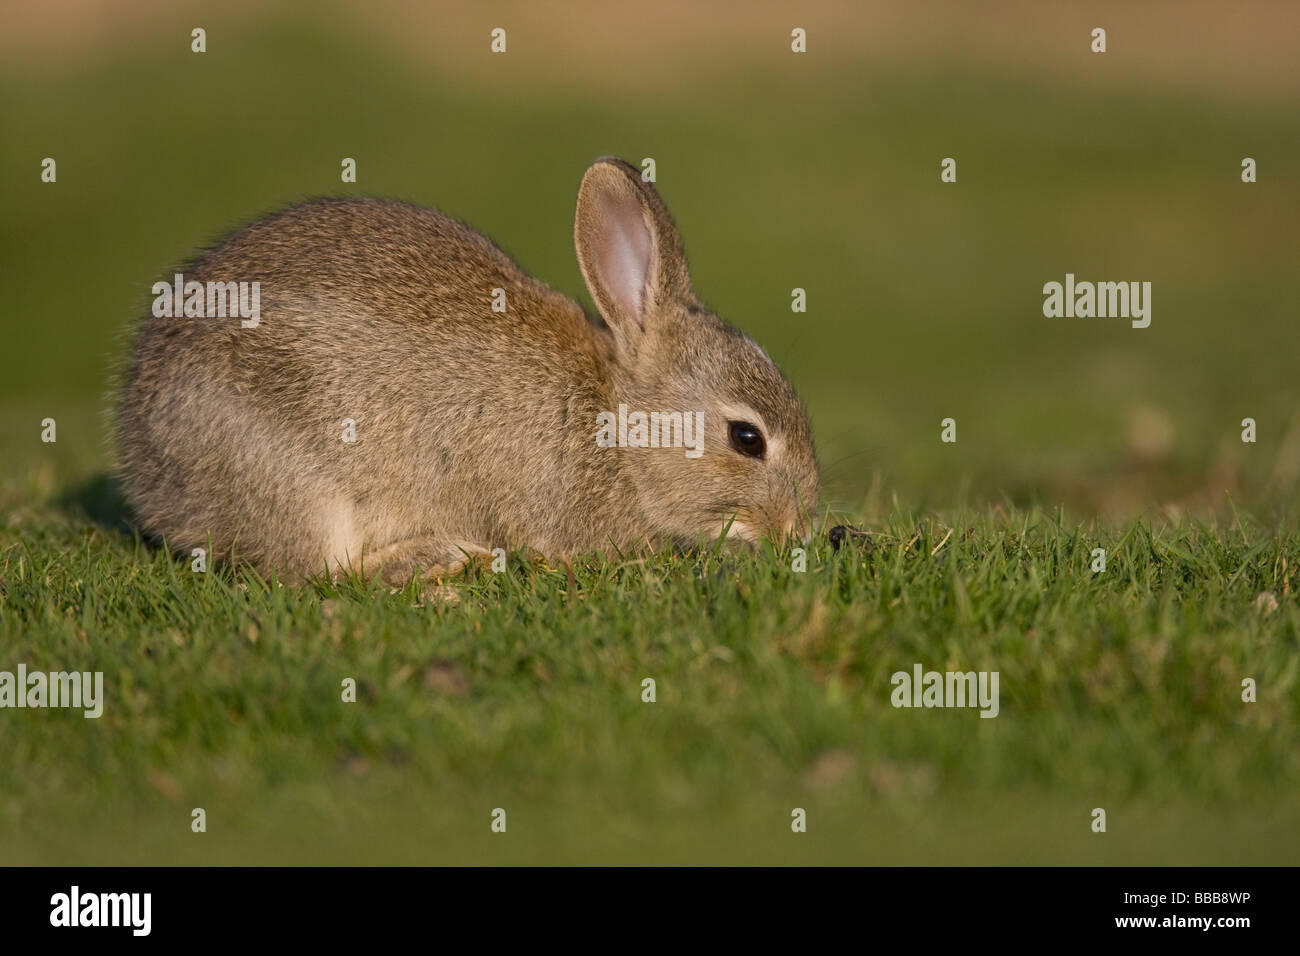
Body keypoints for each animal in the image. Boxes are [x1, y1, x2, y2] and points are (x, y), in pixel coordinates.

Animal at [118, 157, 820, 583]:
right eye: (746, 439)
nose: (797, 528)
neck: (618, 425)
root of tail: (147, 470)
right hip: (295, 481)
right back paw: (446, 558)